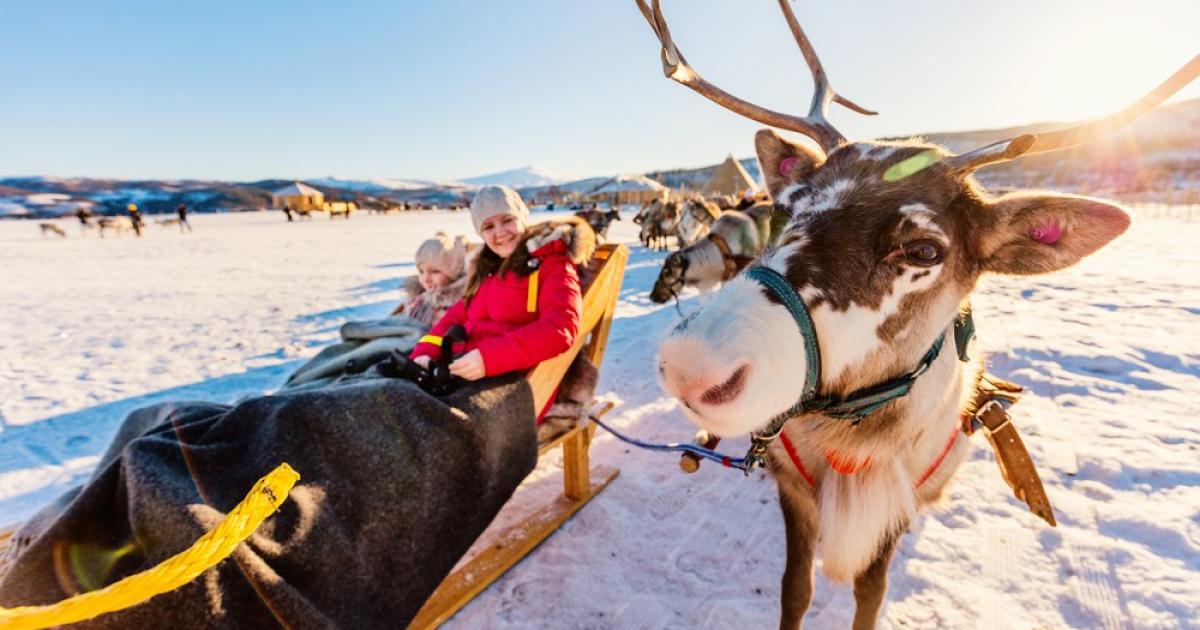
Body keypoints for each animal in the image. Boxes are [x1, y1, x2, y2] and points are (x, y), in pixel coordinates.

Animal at [637, 1, 1200, 628]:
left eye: (925, 250)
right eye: (785, 211)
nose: (691, 367)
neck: (856, 447)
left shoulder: (897, 507)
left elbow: (871, 593)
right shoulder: (794, 491)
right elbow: (794, 590)